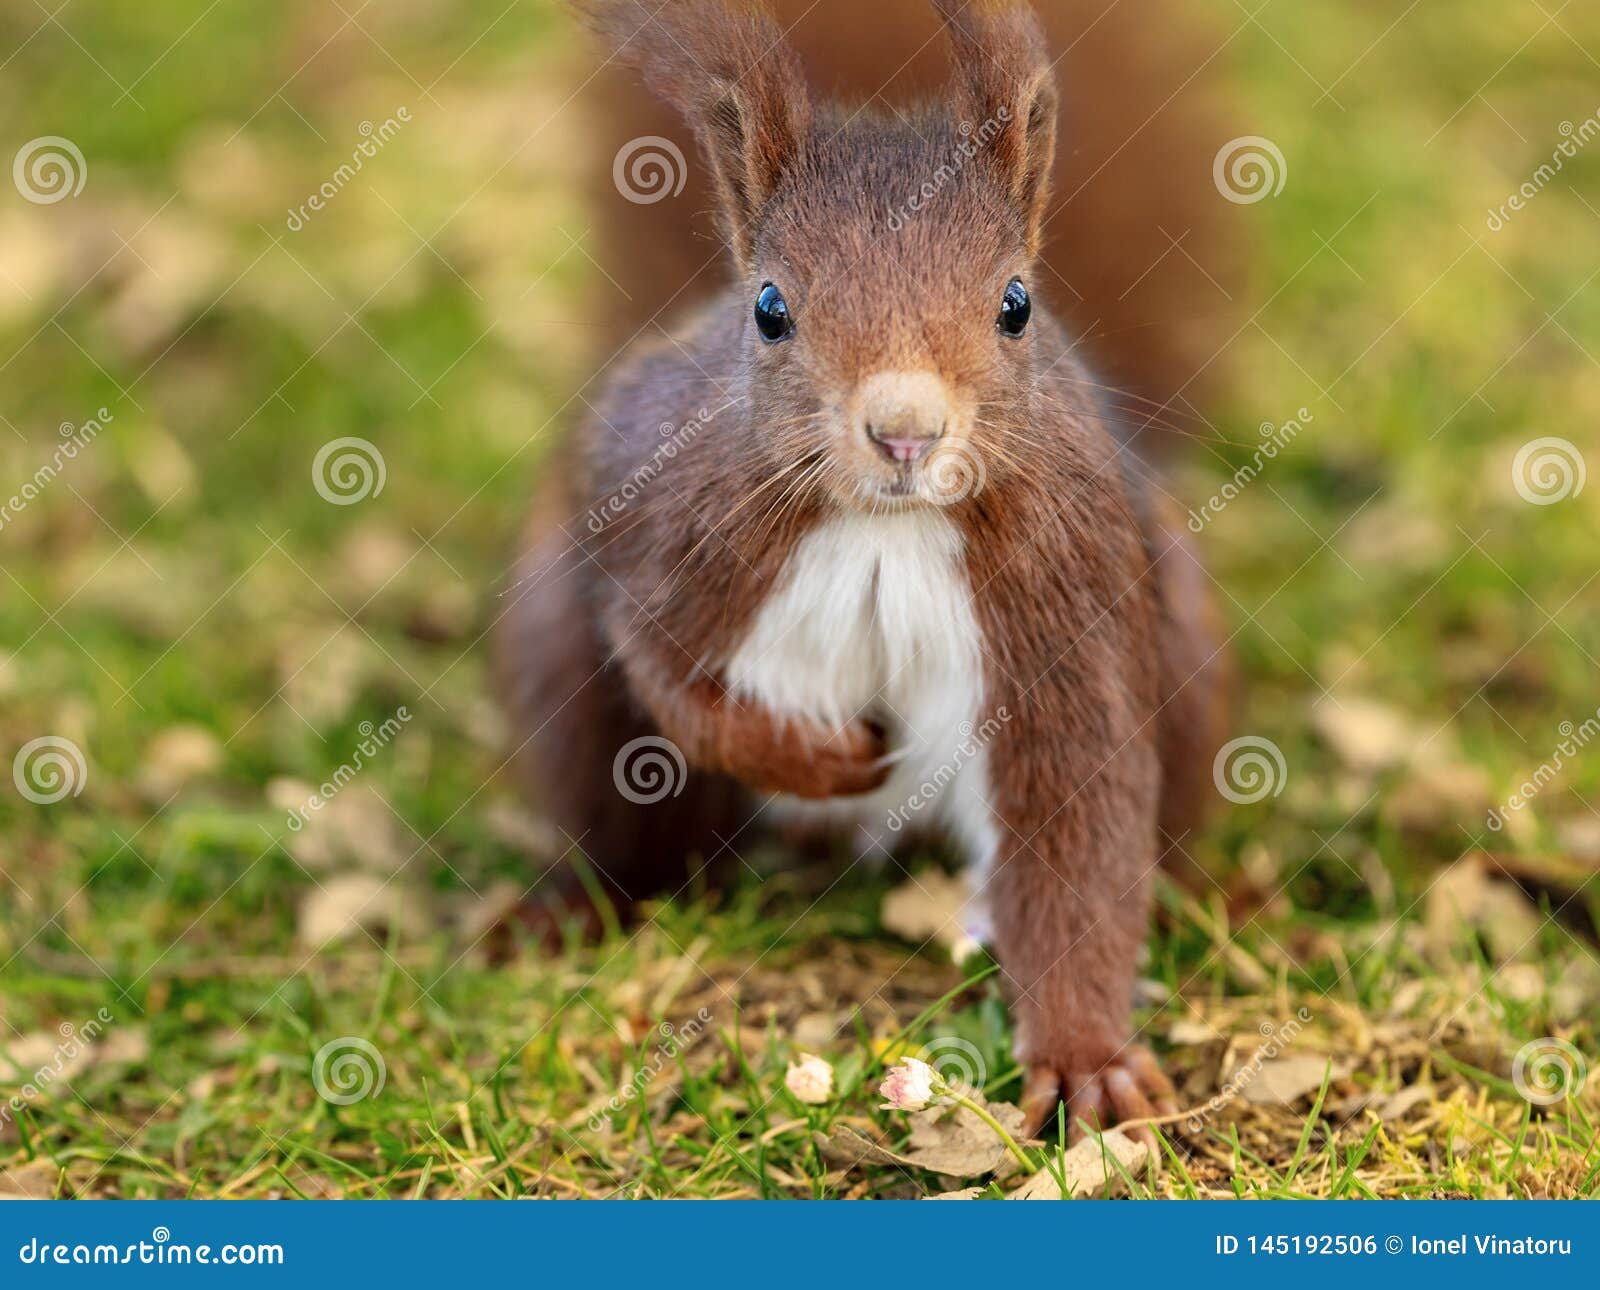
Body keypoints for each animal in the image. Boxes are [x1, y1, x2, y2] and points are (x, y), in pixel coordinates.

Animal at [495, 0, 1235, 1137]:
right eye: (769, 308)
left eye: (1016, 303)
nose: (904, 432)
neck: (887, 525)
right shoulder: (665, 530)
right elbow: (667, 672)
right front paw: (821, 756)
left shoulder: (1070, 588)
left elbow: (1079, 818)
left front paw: (1088, 1059)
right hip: (564, 672)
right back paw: (577, 904)